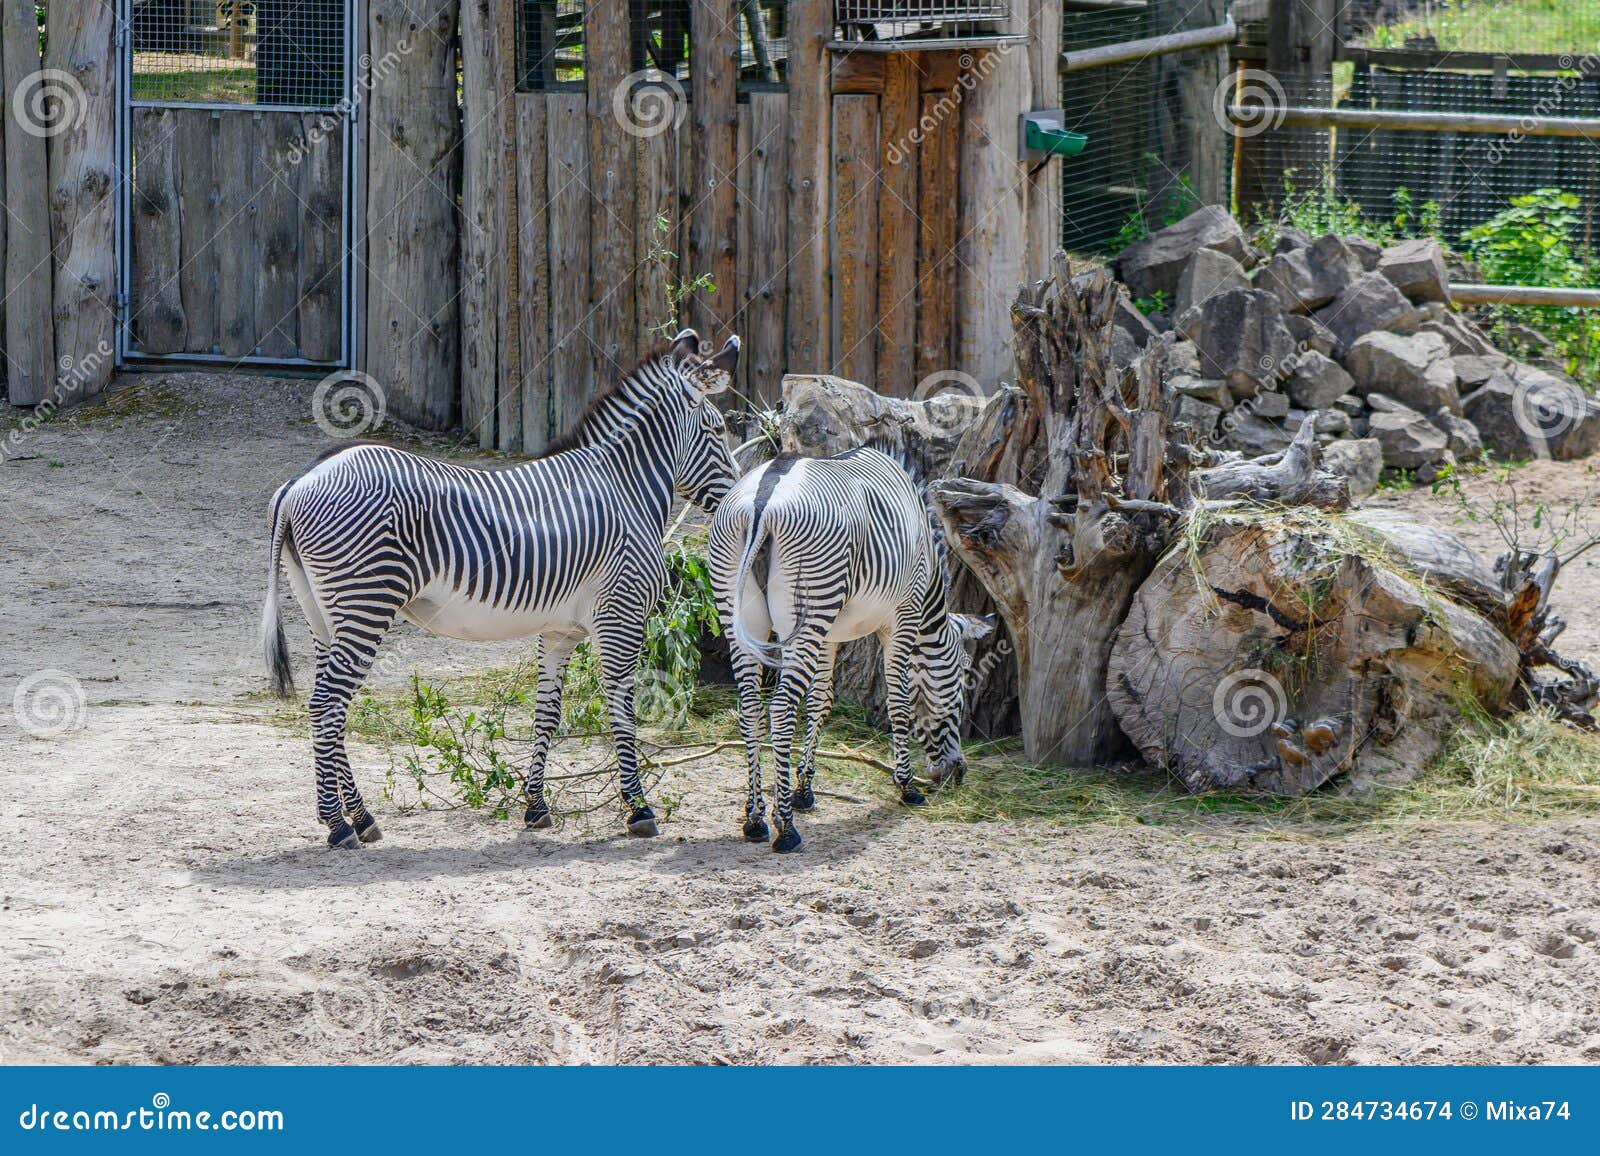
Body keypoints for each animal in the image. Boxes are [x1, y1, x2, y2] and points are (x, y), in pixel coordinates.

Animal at [260, 329, 741, 848]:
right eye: (718, 430)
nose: (736, 503)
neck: (623, 486)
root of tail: (300, 480)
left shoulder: (560, 631)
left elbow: (547, 712)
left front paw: (536, 806)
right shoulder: (621, 614)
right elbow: (622, 708)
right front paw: (638, 809)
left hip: (324, 613)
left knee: (327, 705)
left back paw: (360, 818)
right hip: (366, 604)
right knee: (327, 704)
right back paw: (338, 825)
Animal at [707, 444, 994, 853]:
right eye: (959, 694)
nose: (957, 774)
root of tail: (764, 499)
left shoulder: (829, 636)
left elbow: (820, 701)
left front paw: (804, 790)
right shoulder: (902, 619)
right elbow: (899, 703)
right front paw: (907, 786)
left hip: (744, 614)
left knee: (749, 709)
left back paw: (754, 818)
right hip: (808, 607)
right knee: (780, 710)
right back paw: (786, 828)